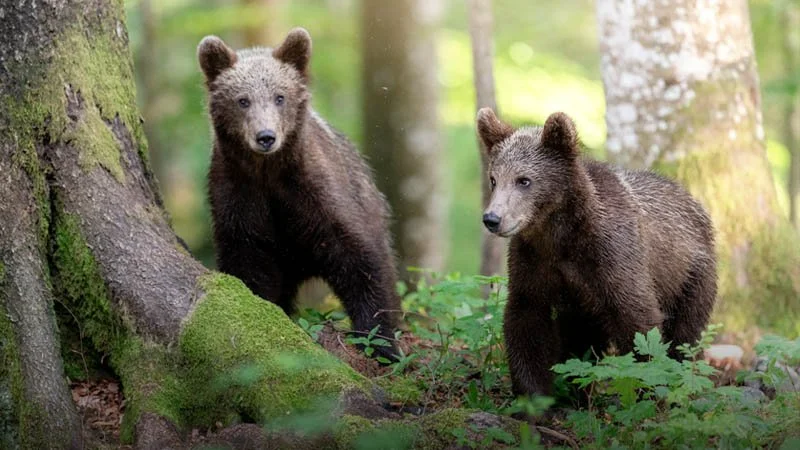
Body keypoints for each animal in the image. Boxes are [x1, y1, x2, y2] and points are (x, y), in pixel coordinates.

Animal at [197, 28, 400, 361]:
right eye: (242, 100)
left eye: (280, 96)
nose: (265, 137)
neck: (267, 173)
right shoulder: (239, 196)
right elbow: (249, 265)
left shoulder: (315, 194)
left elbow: (359, 258)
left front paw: (380, 341)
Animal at [476, 108, 717, 397]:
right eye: (493, 179)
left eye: (524, 180)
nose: (492, 218)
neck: (558, 235)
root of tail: (692, 199)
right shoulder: (534, 262)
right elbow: (527, 319)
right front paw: (534, 396)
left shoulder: (613, 255)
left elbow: (639, 322)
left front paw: (647, 386)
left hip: (690, 274)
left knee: (686, 333)